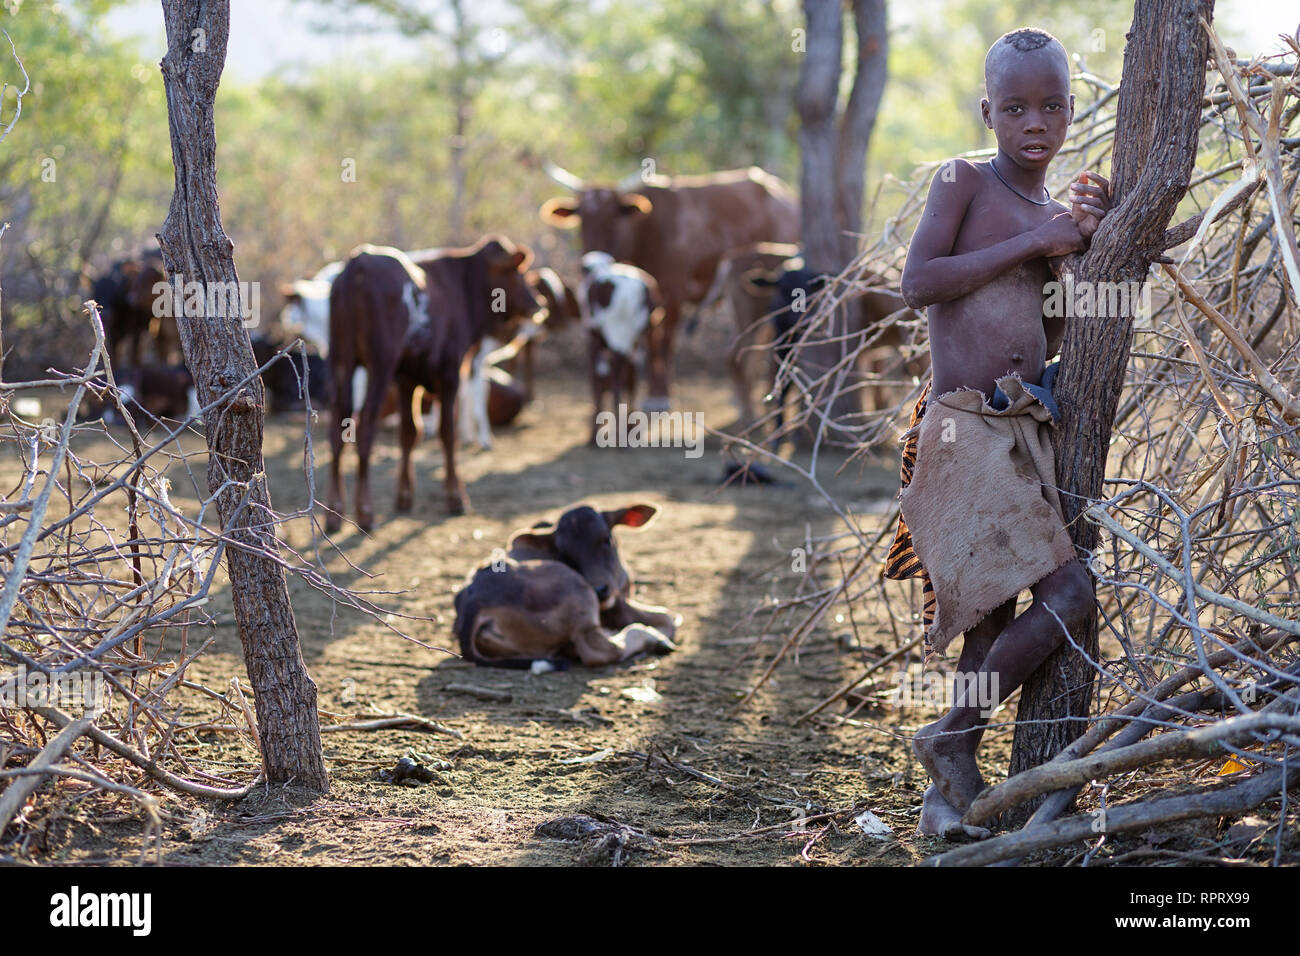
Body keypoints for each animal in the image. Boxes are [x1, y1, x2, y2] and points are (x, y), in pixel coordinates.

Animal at [325, 236, 541, 531]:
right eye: (518, 272)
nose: (538, 303)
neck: (463, 283)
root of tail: (360, 261)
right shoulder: (449, 374)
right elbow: (448, 433)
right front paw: (456, 497)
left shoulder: (406, 379)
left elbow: (409, 433)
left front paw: (404, 496)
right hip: (380, 364)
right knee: (365, 423)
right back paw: (365, 511)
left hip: (341, 360)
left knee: (338, 423)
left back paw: (333, 513)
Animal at [453, 503, 679, 668]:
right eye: (565, 552)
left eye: (606, 539)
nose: (601, 591)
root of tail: (474, 600)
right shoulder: (618, 607)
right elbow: (668, 618)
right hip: (578, 589)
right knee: (599, 650)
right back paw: (654, 639)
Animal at [539, 163, 799, 409]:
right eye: (581, 218)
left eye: (612, 217)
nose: (589, 262)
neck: (647, 231)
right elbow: (649, 342)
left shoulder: (673, 294)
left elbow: (663, 344)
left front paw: (659, 395)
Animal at [578, 251, 662, 445]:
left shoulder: (593, 338)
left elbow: (598, 380)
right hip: (633, 341)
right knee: (628, 376)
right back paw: (626, 429)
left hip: (615, 338)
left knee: (616, 375)